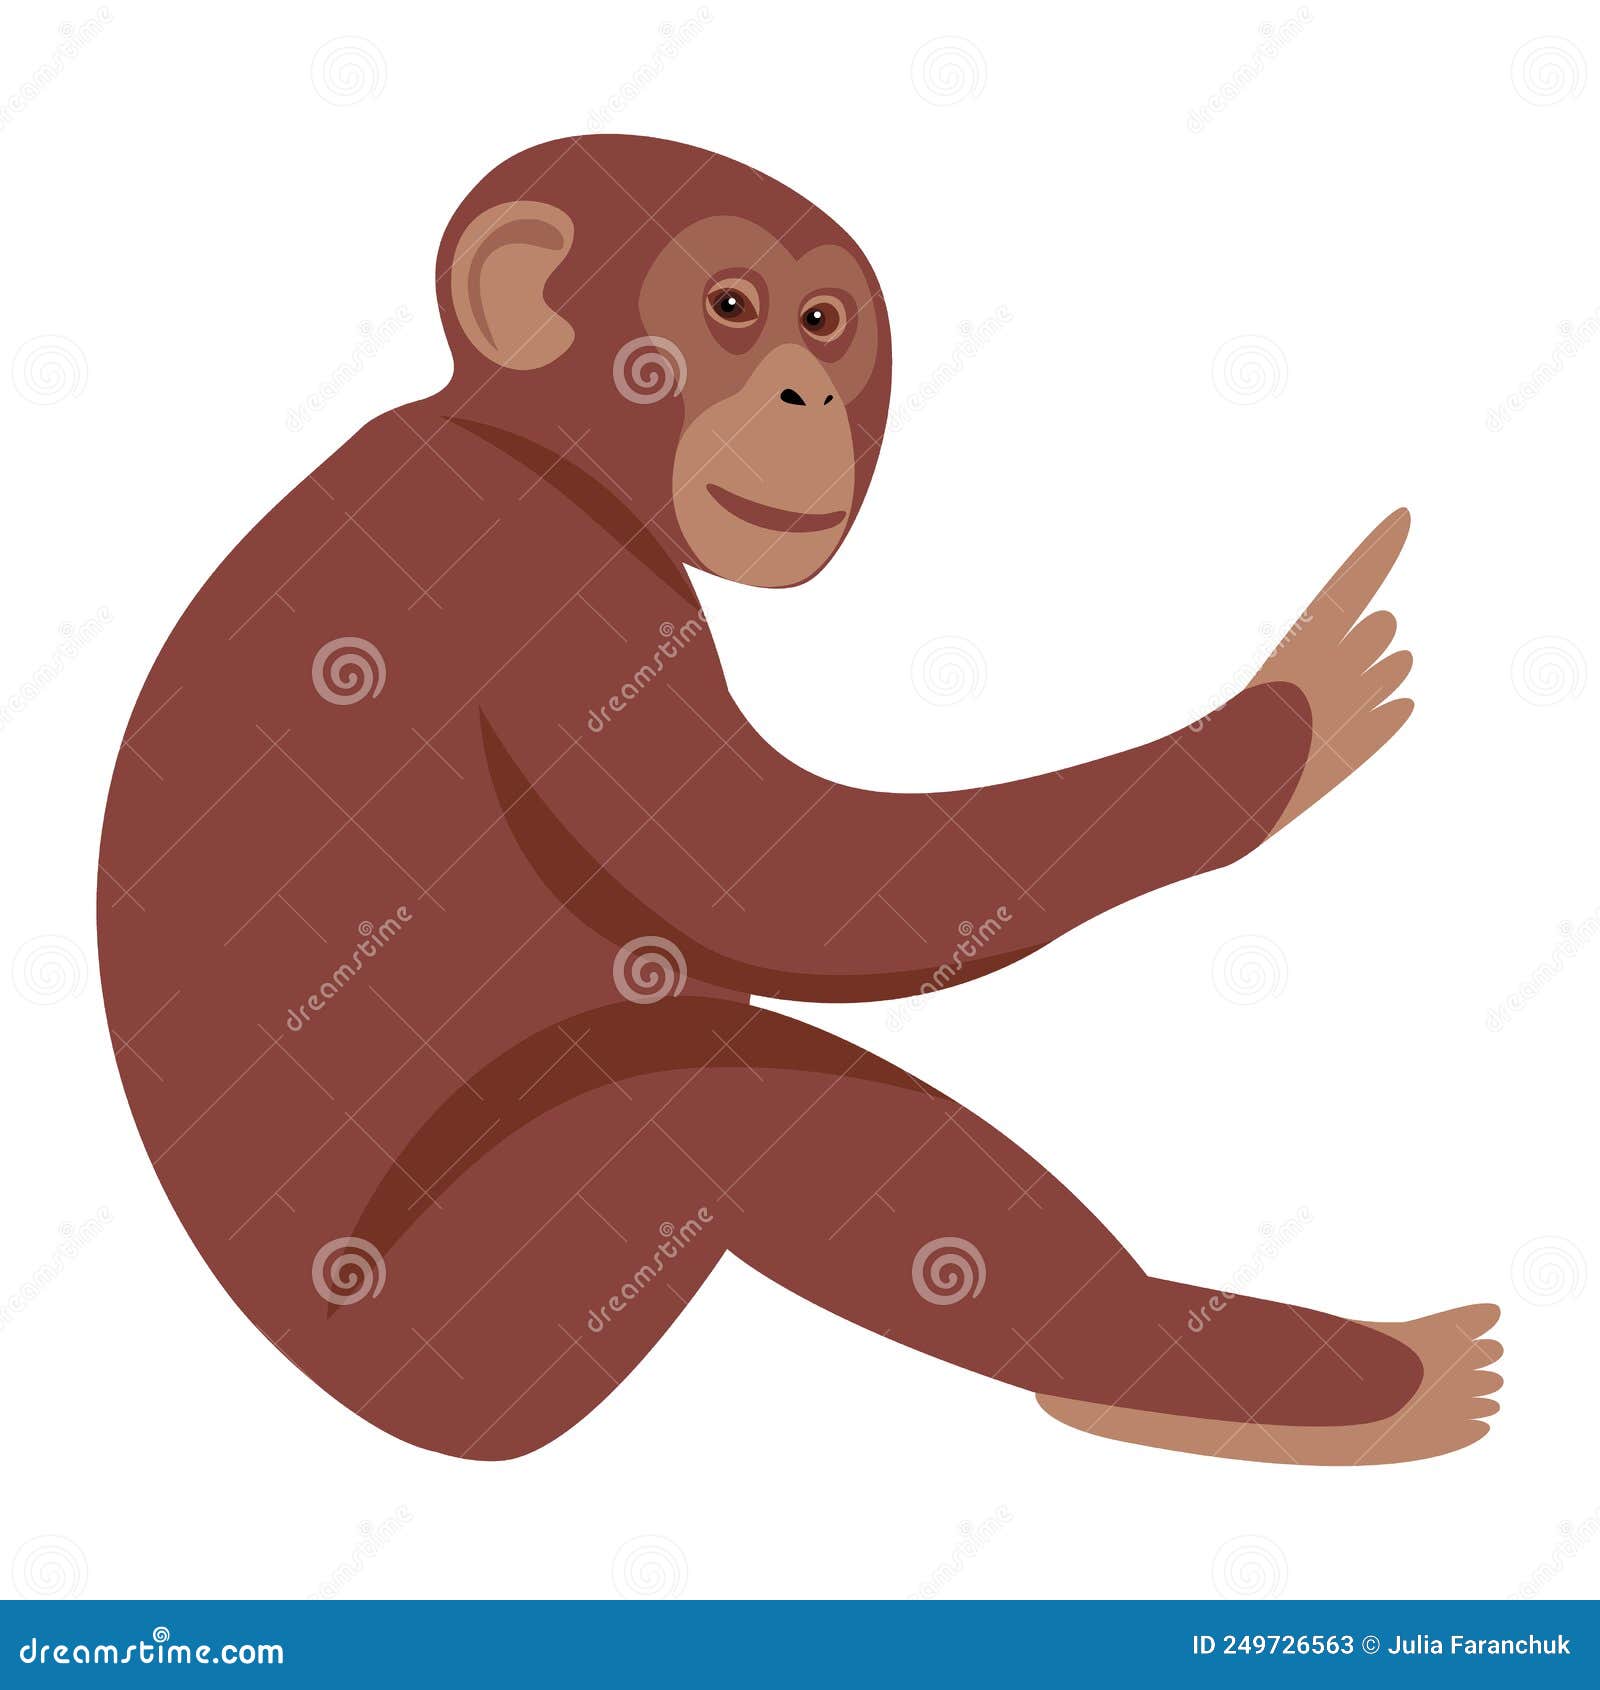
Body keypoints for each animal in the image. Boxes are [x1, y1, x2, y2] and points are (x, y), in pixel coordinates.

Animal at [99, 135, 1501, 1466]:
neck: (531, 444)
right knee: (721, 1103)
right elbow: (783, 885)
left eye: (824, 321)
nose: (804, 387)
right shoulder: (565, 595)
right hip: (484, 1328)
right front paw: (1275, 734)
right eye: (730, 304)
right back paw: (1289, 1380)